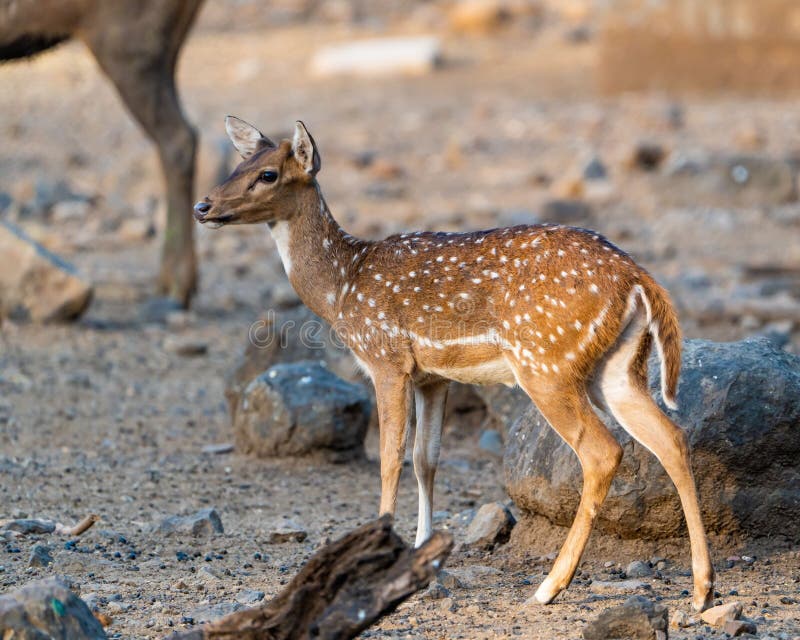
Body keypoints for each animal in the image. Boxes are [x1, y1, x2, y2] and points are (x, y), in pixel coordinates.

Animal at [194, 117, 715, 612]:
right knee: (671, 437)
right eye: (239, 164)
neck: (342, 288)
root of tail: (637, 277)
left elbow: (389, 458)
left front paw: (379, 557)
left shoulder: (386, 359)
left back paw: (549, 587)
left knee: (602, 451)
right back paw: (701, 590)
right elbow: (426, 459)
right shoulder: (433, 377)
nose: (203, 206)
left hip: (545, 361)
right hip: (616, 367)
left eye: (268, 173)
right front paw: (424, 561)